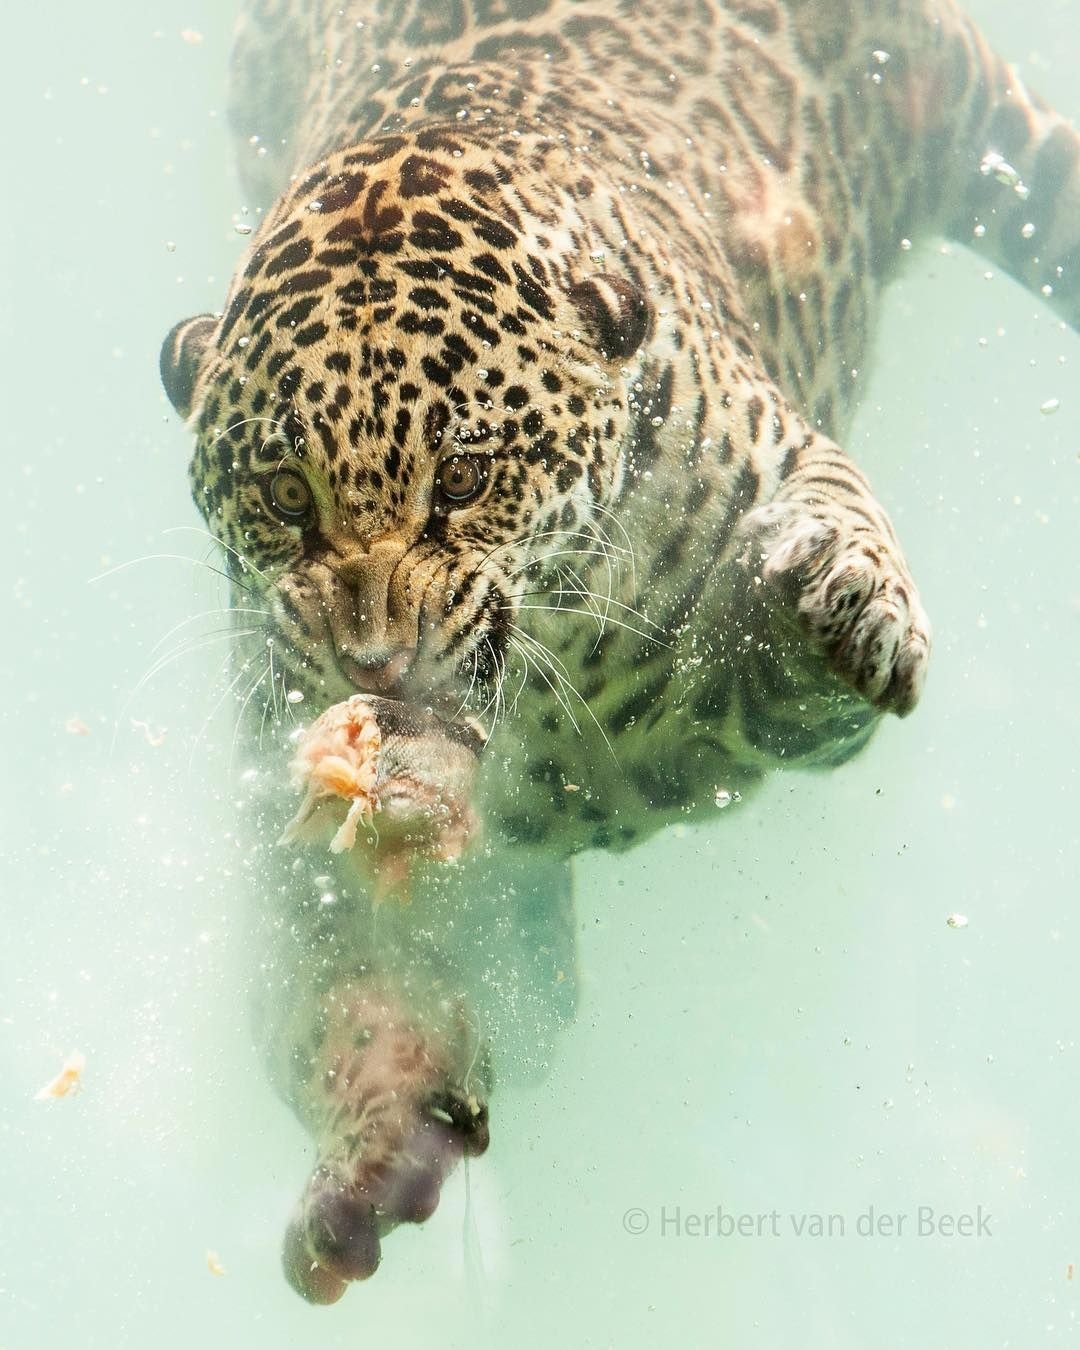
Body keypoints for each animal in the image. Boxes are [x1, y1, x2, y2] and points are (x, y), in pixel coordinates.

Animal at [160, 0, 1080, 1304]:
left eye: (465, 477)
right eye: (287, 495)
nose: (376, 664)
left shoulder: (770, 515)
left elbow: (797, 599)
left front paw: (840, 598)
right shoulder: (279, 826)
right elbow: (326, 982)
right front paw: (375, 1145)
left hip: (980, 120)